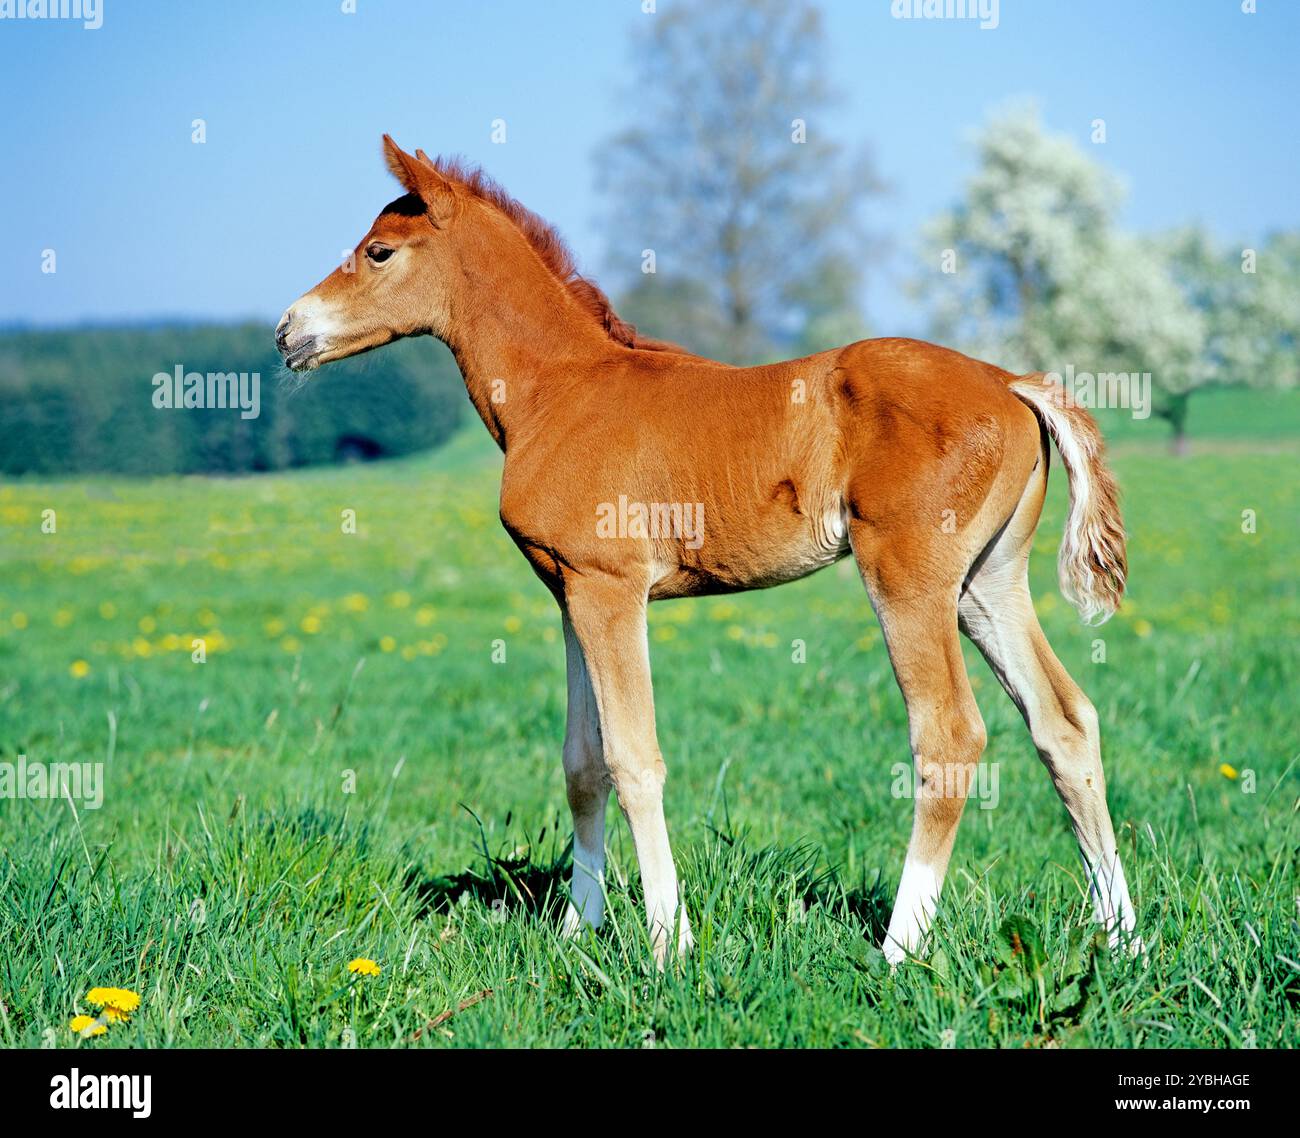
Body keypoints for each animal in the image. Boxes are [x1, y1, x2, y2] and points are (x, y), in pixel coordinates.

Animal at [276, 136, 1139, 966]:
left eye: (379, 251)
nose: (288, 331)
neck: (559, 391)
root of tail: (1010, 380)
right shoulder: (570, 593)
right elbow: (583, 763)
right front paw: (575, 932)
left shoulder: (610, 588)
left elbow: (633, 760)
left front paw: (669, 944)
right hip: (988, 582)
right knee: (1065, 722)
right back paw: (1123, 938)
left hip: (910, 578)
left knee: (950, 735)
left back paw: (898, 950)